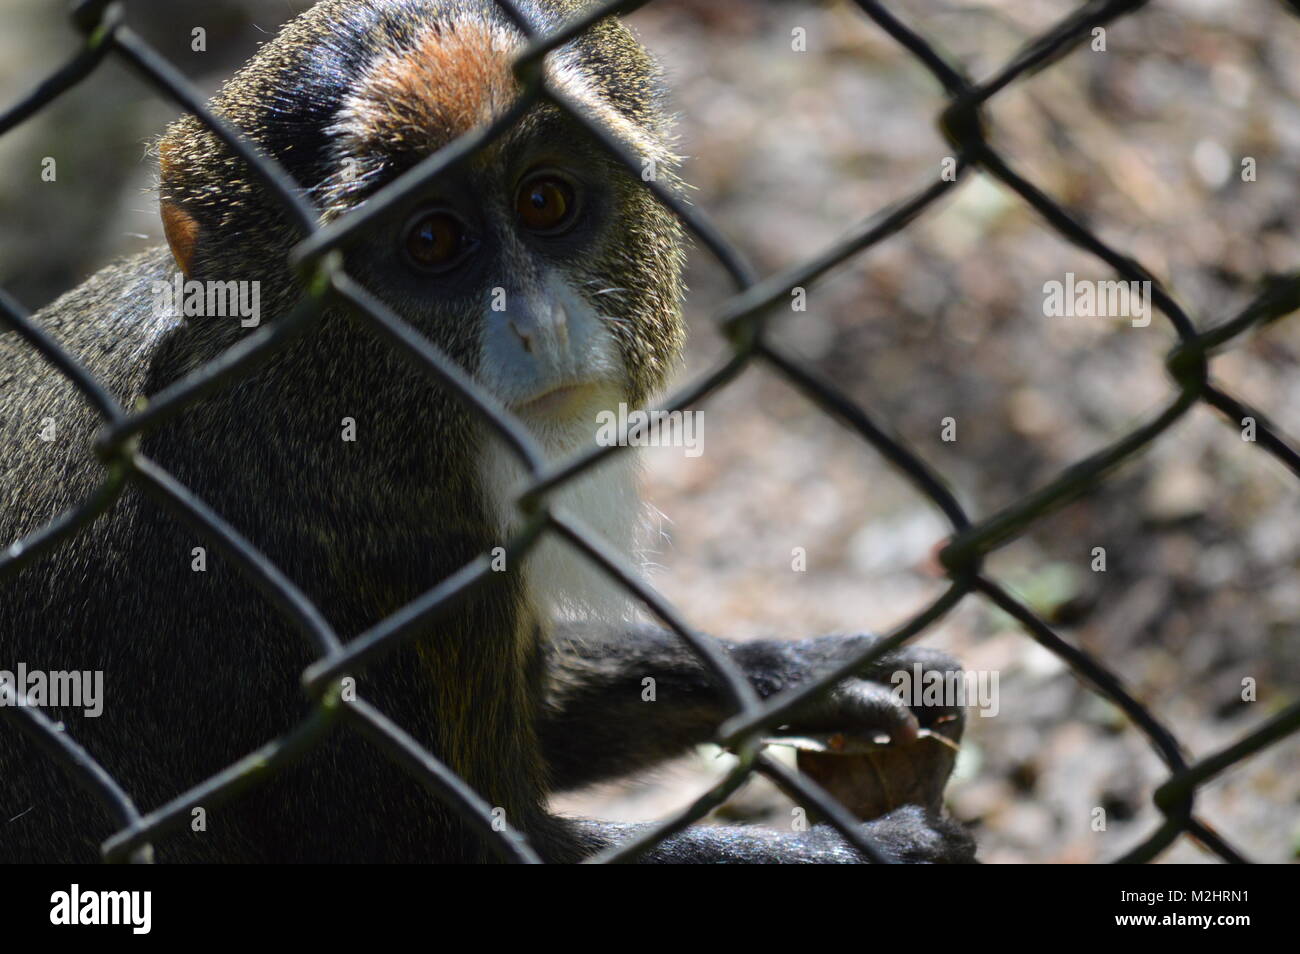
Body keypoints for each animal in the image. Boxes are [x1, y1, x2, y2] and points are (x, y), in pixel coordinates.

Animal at [0, 0, 975, 863]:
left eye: (543, 201)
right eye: (432, 242)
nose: (540, 326)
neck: (292, 418)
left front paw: (812, 668)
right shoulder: (385, 585)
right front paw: (881, 846)